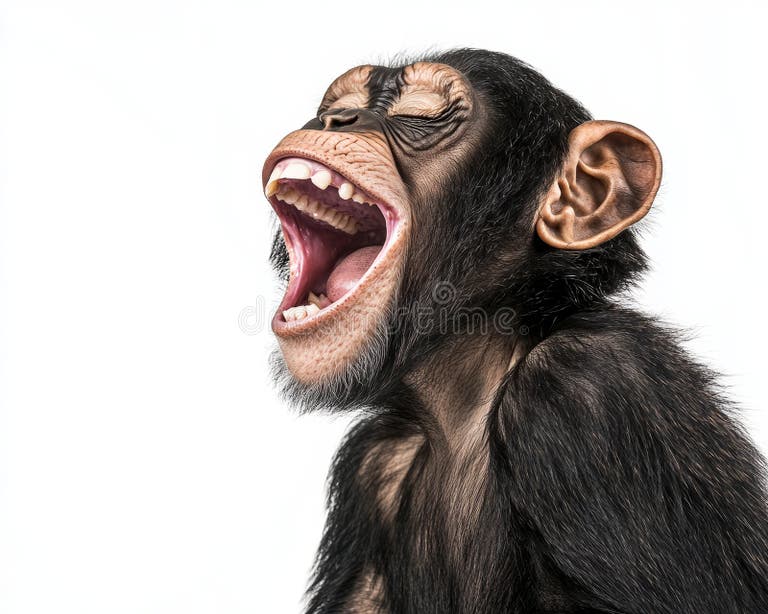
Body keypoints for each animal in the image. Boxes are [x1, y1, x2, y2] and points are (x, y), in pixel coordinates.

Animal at [261, 49, 768, 613]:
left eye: (419, 113)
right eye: (339, 104)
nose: (334, 120)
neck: (467, 388)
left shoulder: (592, 390)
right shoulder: (371, 464)